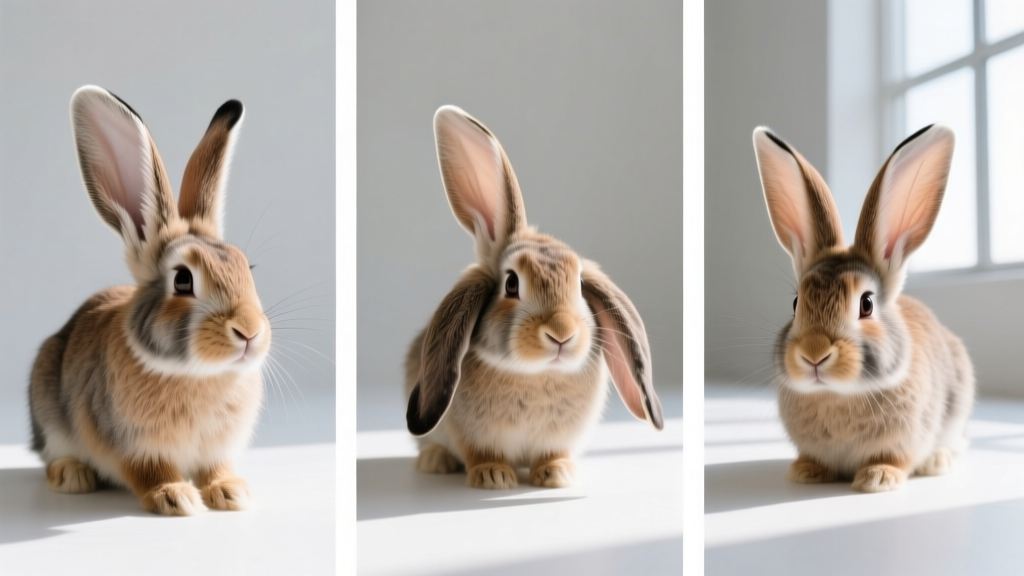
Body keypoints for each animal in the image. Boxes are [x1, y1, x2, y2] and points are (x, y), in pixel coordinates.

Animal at [27, 86, 269, 515]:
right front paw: (176, 498)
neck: (196, 374)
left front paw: (232, 493)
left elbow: (216, 468)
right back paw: (73, 475)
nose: (249, 331)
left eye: (248, 268)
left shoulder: (216, 450)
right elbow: (149, 471)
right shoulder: (131, 444)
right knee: (53, 456)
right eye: (183, 280)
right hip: (49, 410)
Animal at [404, 106, 664, 490]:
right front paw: (493, 477)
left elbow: (551, 454)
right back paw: (435, 461)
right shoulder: (471, 434)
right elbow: (479, 453)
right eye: (511, 284)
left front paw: (557, 475)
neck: (536, 373)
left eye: (580, 284)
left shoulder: (557, 438)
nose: (561, 333)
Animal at [752, 123, 975, 493]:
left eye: (866, 304)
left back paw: (937, 461)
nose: (814, 354)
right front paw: (805, 472)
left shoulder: (907, 440)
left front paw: (877, 478)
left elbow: (896, 460)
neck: (837, 394)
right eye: (796, 303)